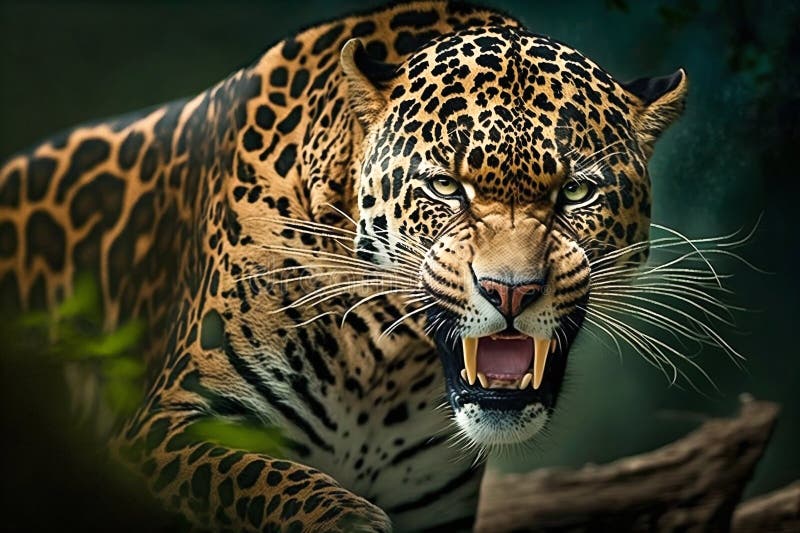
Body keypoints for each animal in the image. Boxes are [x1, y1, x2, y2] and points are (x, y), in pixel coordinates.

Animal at [0, 1, 690, 531]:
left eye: (576, 192)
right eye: (445, 187)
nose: (511, 292)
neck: (387, 364)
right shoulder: (164, 425)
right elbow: (252, 477)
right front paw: (340, 516)